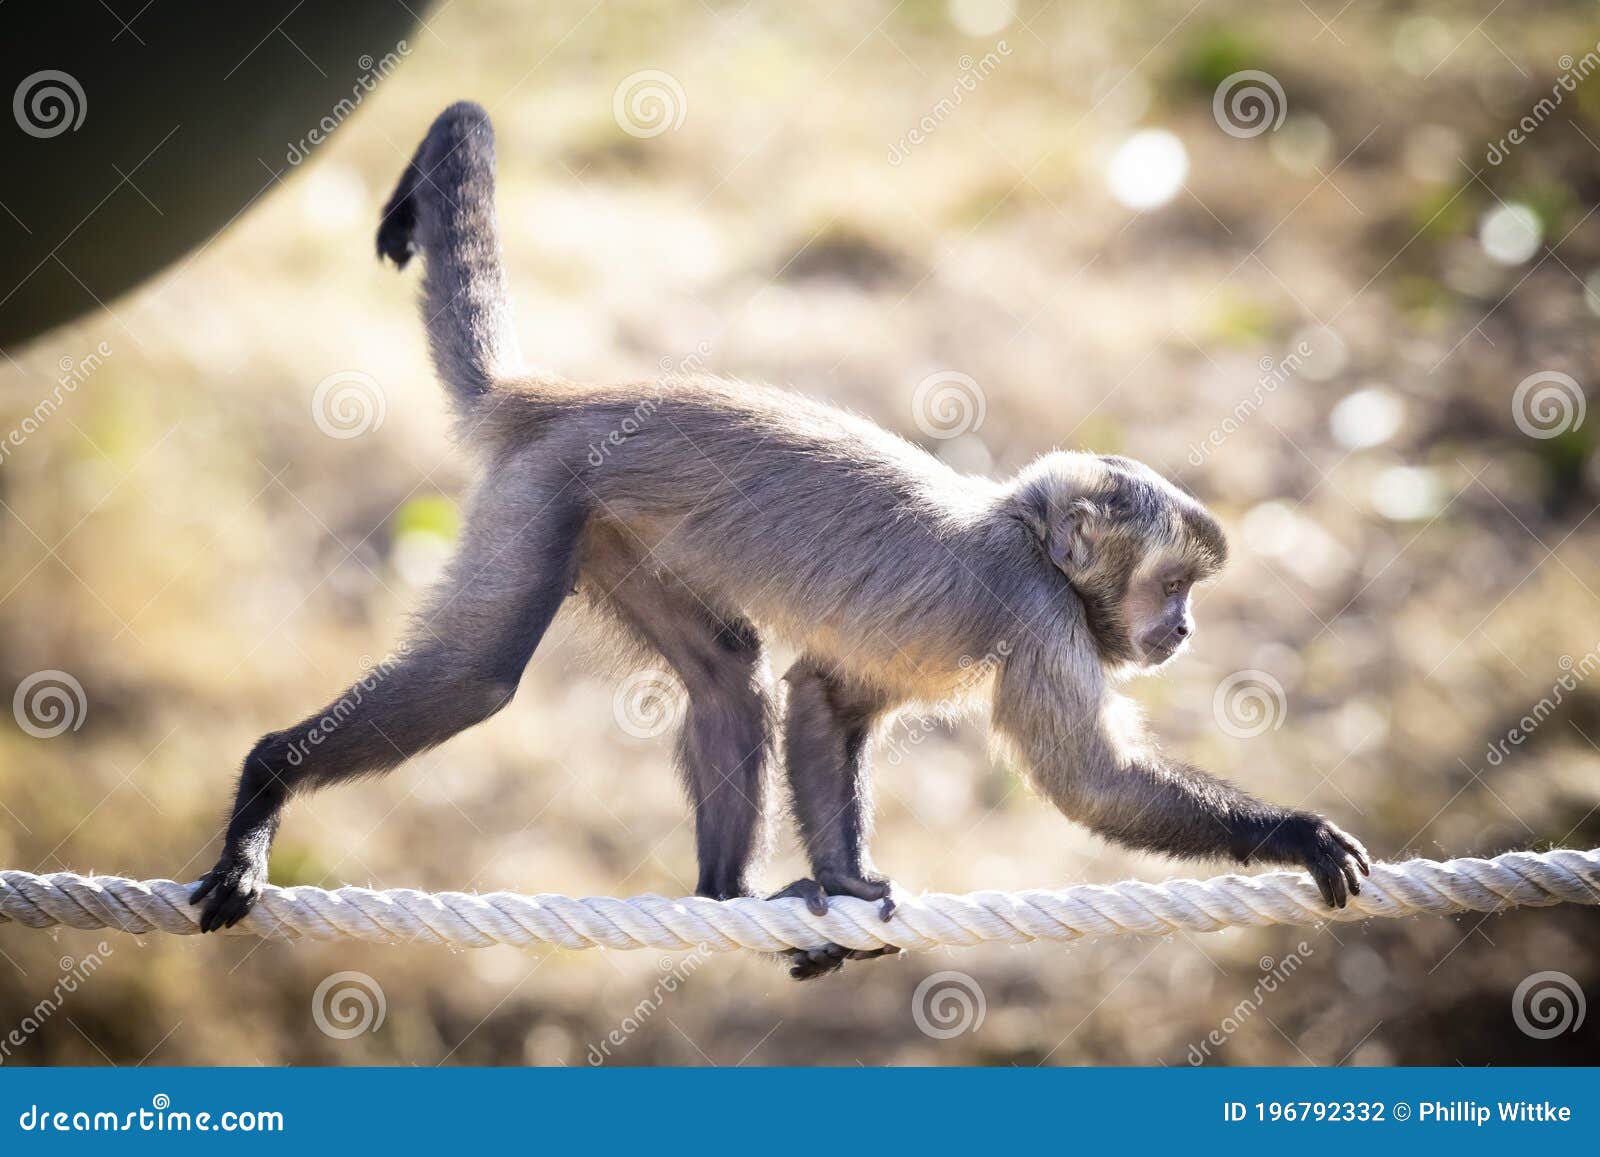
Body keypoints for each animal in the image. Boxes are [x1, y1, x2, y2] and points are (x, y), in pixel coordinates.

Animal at [192, 102, 1370, 979]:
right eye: (1171, 585)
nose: (1182, 628)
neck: (1025, 533)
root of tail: (567, 397)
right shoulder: (1041, 618)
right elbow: (1091, 783)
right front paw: (1292, 833)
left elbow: (819, 698)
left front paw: (843, 886)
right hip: (547, 492)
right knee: (476, 674)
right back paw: (267, 778)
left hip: (609, 521)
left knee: (730, 671)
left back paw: (726, 896)